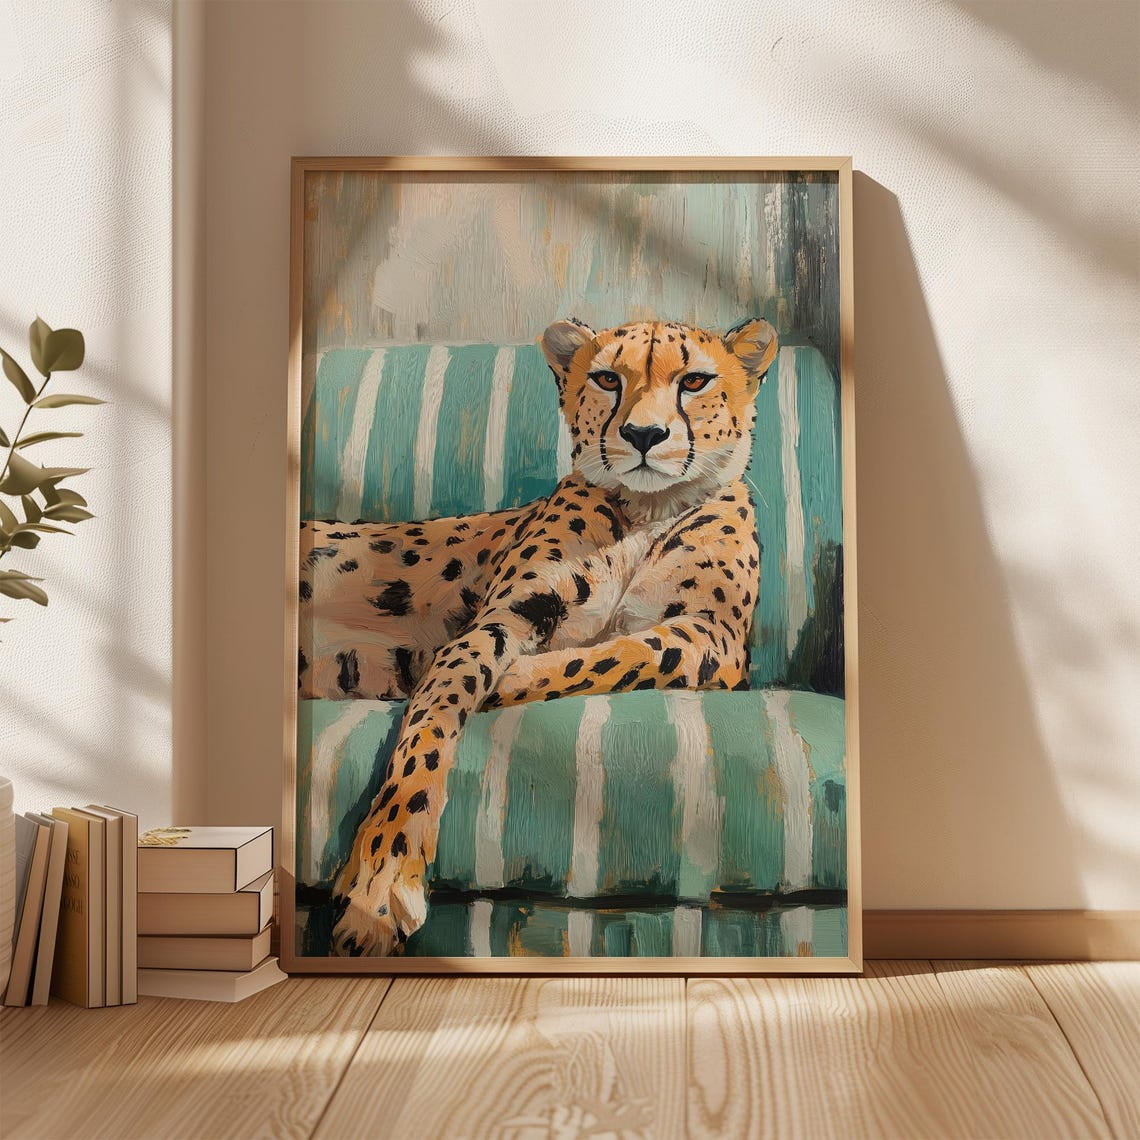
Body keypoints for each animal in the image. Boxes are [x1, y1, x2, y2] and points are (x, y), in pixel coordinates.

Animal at [298, 315, 779, 956]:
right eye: (607, 378)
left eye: (695, 381)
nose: (643, 434)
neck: (648, 509)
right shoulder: (501, 620)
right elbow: (433, 720)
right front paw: (380, 883)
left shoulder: (715, 641)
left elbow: (623, 653)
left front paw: (505, 678)